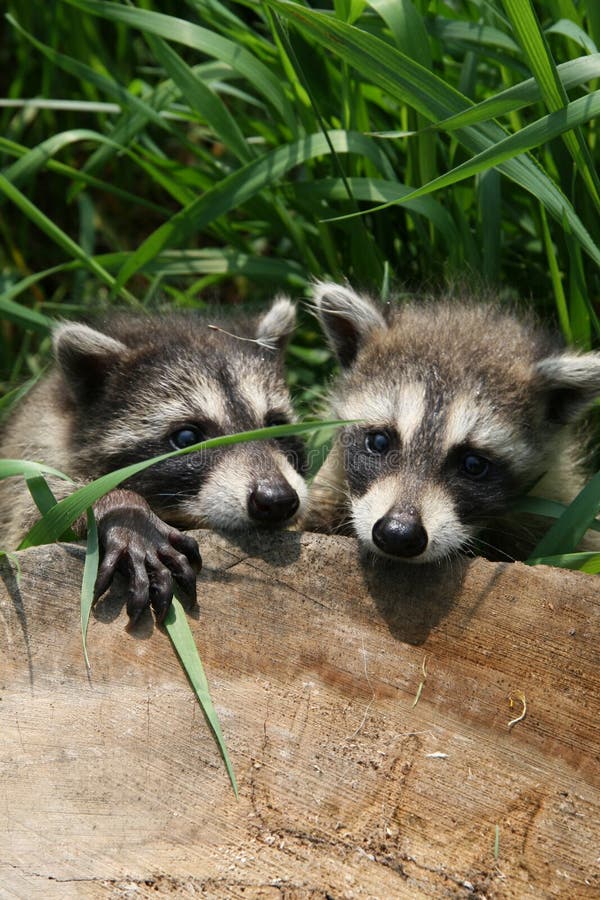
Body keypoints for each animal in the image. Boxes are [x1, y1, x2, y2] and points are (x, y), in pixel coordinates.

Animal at [0, 298, 307, 621]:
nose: (277, 500)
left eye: (276, 425)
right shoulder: (30, 459)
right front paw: (123, 507)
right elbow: (33, 519)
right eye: (187, 438)